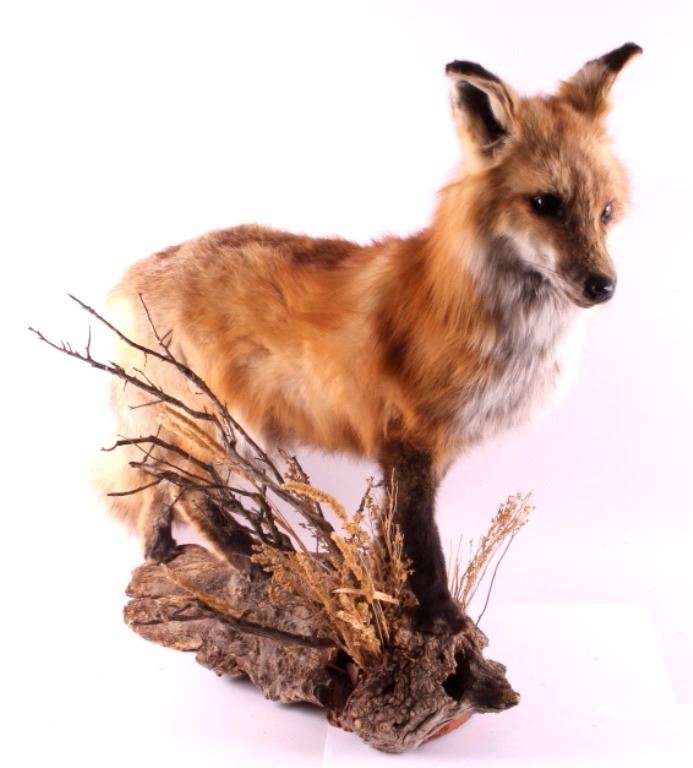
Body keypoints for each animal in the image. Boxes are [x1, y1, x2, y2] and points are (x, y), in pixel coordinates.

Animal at [96, 43, 641, 632]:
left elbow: (396, 542)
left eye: (606, 212)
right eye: (545, 204)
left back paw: (160, 552)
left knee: (159, 480)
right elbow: (420, 544)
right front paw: (440, 621)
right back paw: (249, 557)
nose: (604, 286)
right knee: (188, 489)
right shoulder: (409, 441)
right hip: (220, 425)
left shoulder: (429, 450)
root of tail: (135, 274)